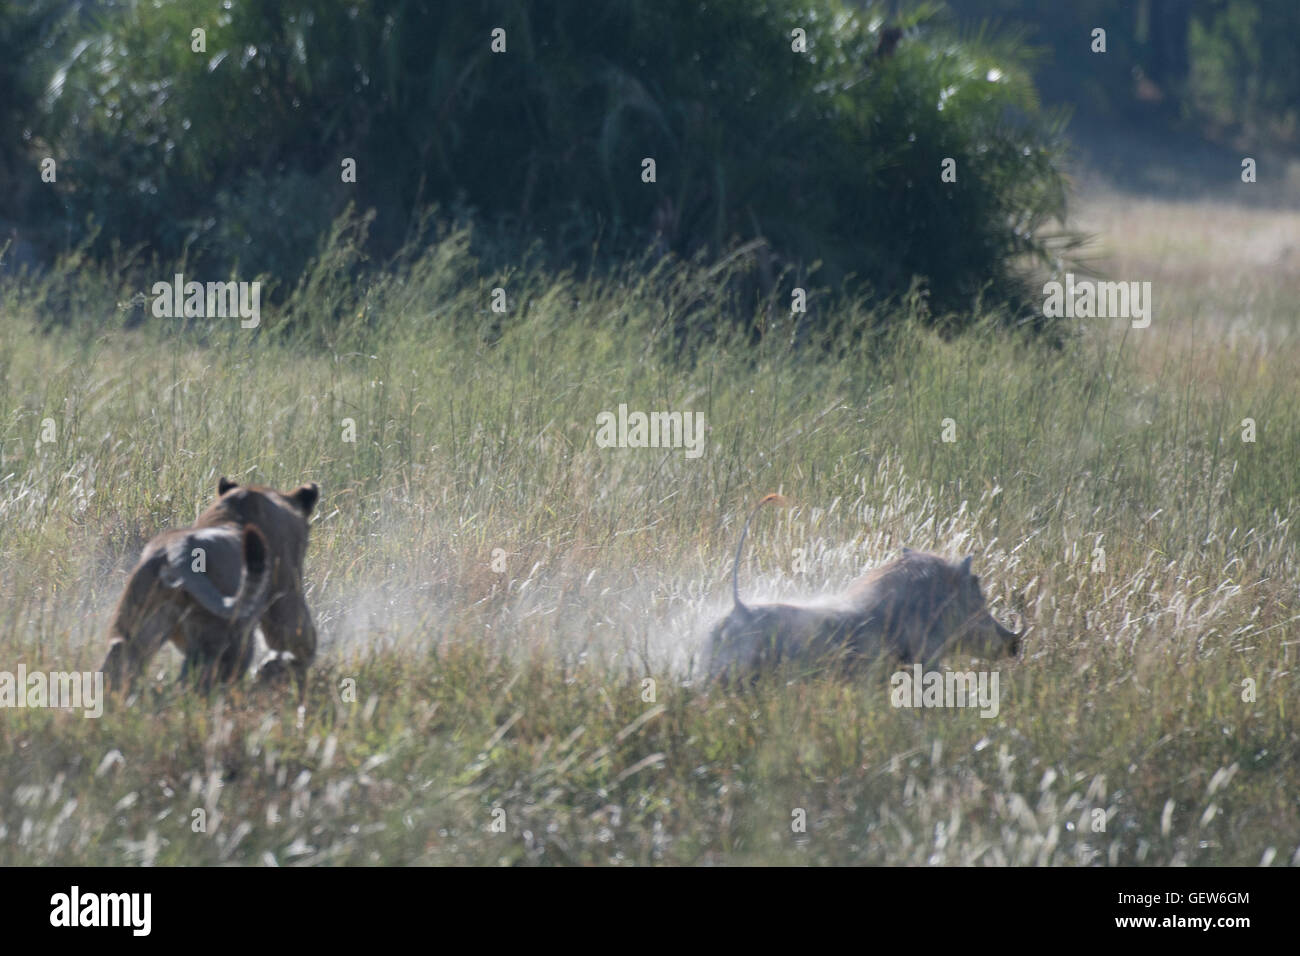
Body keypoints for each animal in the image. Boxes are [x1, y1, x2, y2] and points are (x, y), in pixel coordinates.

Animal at [101, 476, 320, 696]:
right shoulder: (286, 591)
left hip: (136, 625)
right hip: (228, 642)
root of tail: (178, 552)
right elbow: (298, 639)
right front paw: (276, 670)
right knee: (201, 682)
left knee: (118, 660)